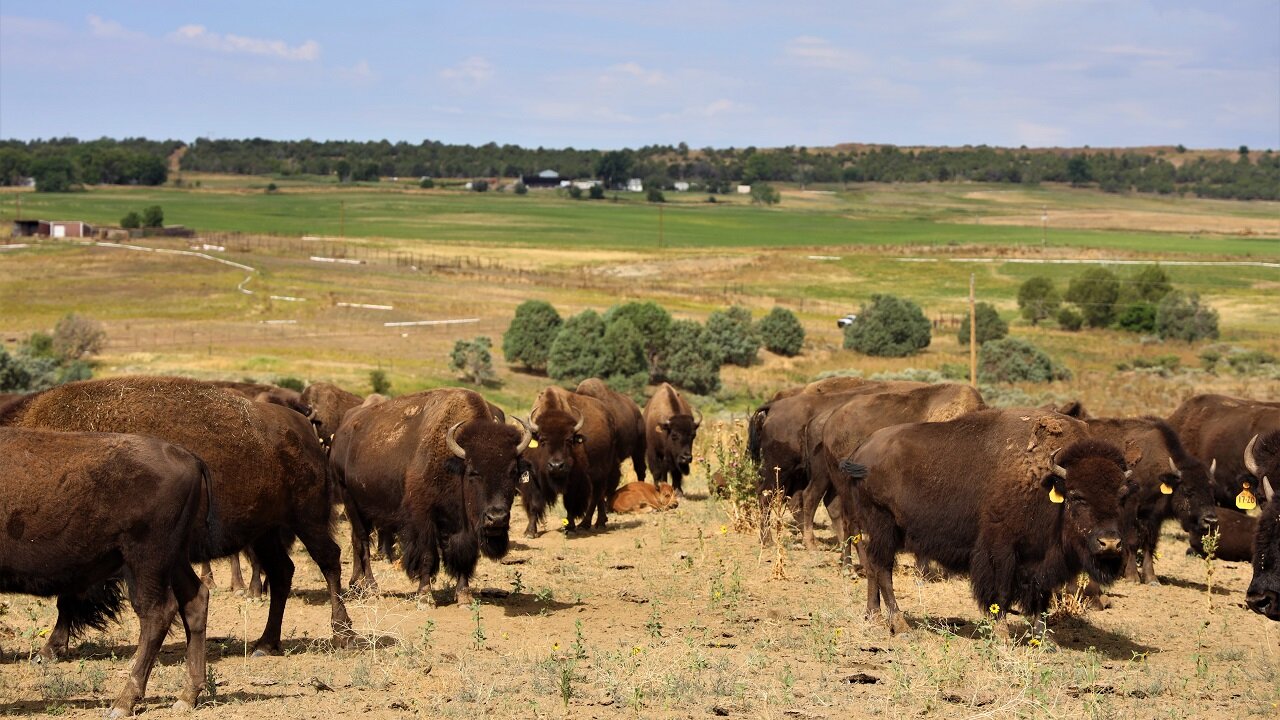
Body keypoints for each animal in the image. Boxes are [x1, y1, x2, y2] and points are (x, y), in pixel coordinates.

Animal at [0, 427, 210, 718]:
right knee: (194, 601)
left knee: (157, 613)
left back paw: (122, 703)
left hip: (146, 560)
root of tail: (188, 456)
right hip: (174, 558)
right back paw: (187, 697)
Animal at [331, 388, 531, 603]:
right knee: (363, 542)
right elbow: (427, 554)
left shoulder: (463, 525)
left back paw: (355, 584)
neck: (454, 464)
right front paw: (425, 595)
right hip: (350, 500)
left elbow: (464, 554)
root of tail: (343, 430)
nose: (497, 518)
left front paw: (464, 595)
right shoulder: (423, 518)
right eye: (473, 472)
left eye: (513, 472)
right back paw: (371, 586)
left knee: (357, 540)